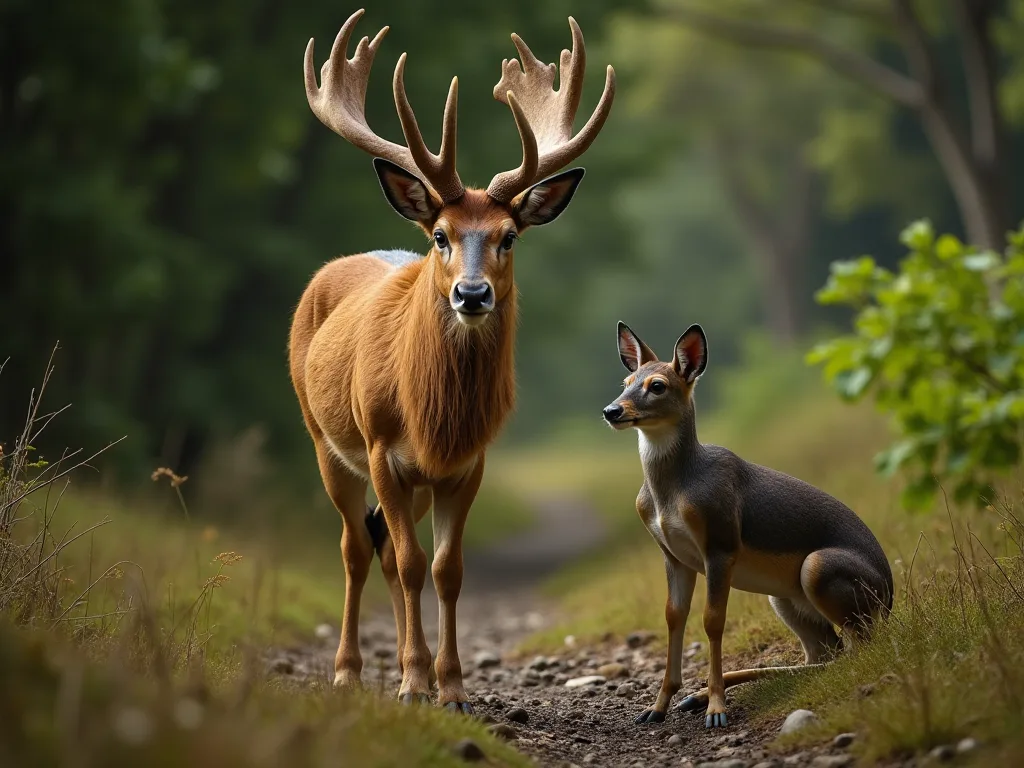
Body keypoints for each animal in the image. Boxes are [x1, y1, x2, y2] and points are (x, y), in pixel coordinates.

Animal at [288, 9, 614, 713]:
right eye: (441, 235)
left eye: (509, 236)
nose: (471, 293)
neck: (432, 417)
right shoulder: (383, 448)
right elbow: (414, 564)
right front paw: (415, 683)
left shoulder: (468, 462)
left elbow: (445, 568)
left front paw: (453, 686)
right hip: (324, 438)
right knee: (355, 547)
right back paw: (350, 671)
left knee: (384, 550)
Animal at [602, 322, 893, 728]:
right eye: (626, 381)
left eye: (657, 385)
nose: (612, 410)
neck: (669, 495)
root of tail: (891, 598)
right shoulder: (672, 554)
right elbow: (674, 616)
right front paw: (657, 707)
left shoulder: (721, 542)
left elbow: (713, 620)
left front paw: (717, 710)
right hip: (783, 596)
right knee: (825, 653)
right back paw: (696, 696)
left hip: (819, 568)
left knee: (856, 649)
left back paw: (706, 696)